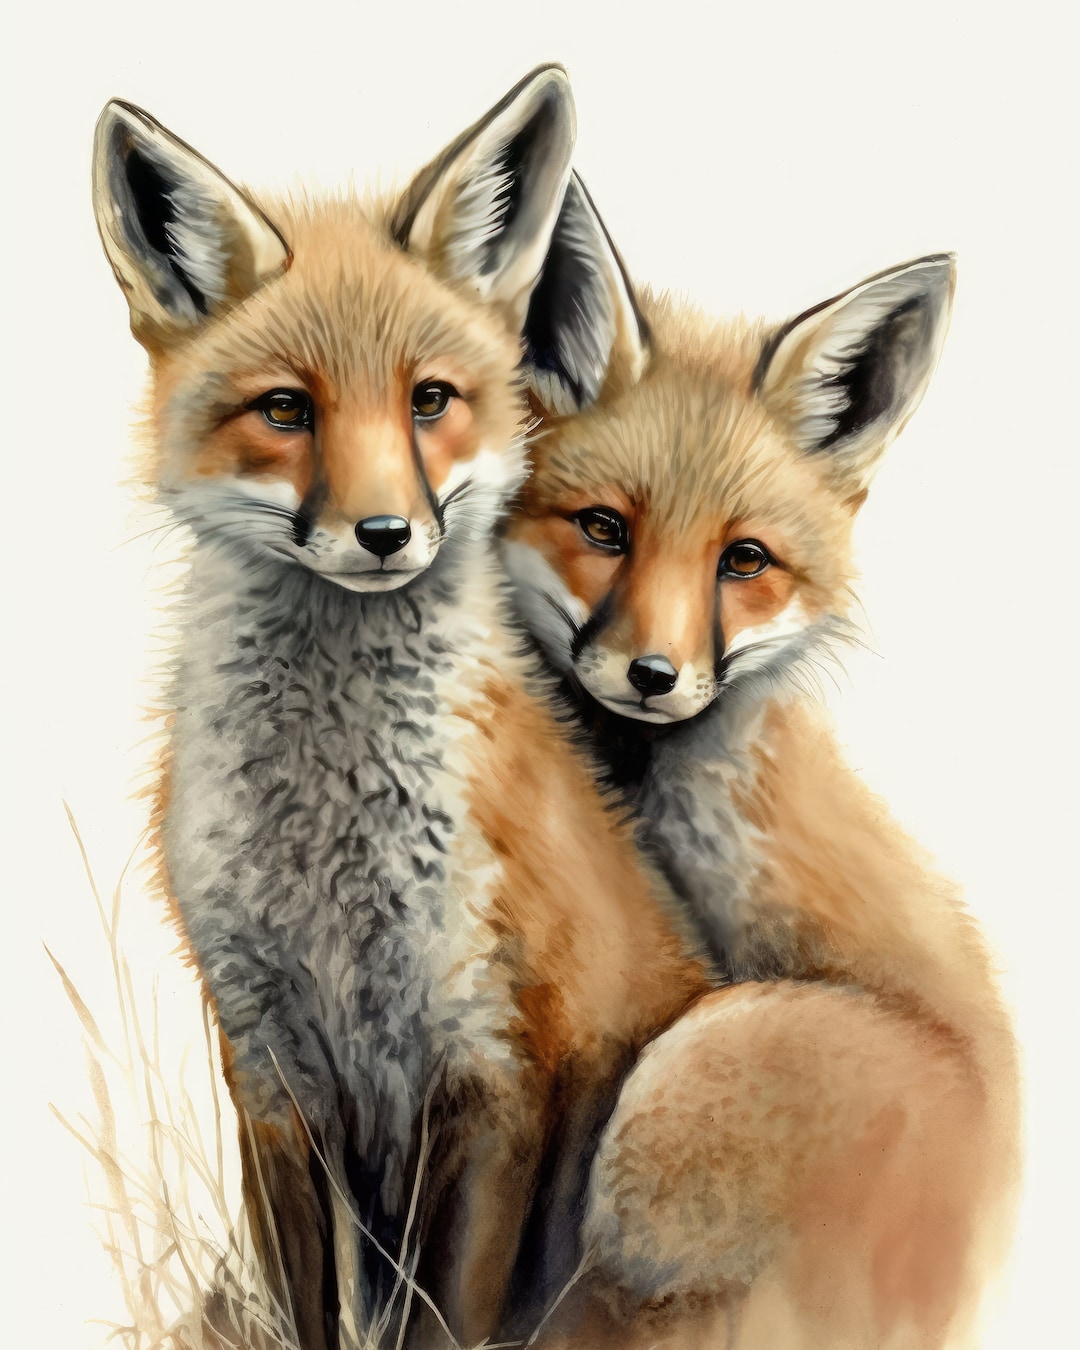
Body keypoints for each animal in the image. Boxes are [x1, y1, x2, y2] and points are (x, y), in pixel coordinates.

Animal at [92, 75, 711, 1350]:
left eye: (431, 401)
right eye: (286, 409)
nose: (384, 535)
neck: (331, 865)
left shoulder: (491, 1067)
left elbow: (447, 1321)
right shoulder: (270, 1065)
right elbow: (307, 1309)